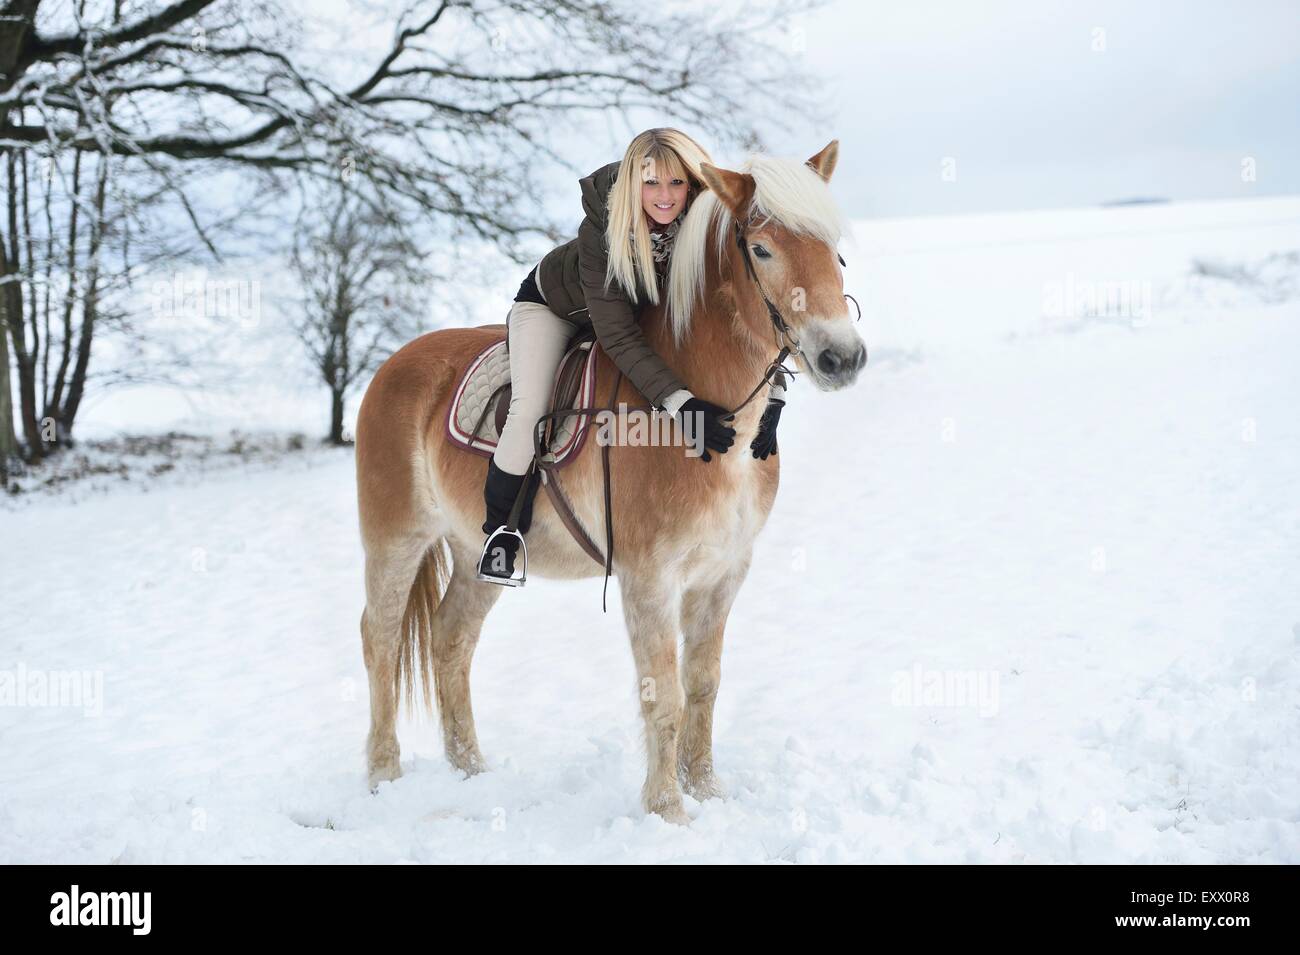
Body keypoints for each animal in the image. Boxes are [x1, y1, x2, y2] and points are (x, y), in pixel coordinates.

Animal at [354, 140, 866, 823]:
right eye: (761, 249)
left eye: (834, 248)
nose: (843, 357)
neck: (700, 421)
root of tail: (394, 365)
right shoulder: (648, 579)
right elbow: (663, 694)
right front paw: (669, 811)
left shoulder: (723, 574)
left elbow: (703, 686)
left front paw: (706, 790)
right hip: (396, 540)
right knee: (381, 639)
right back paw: (383, 775)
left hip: (474, 550)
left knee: (450, 639)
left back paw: (470, 772)